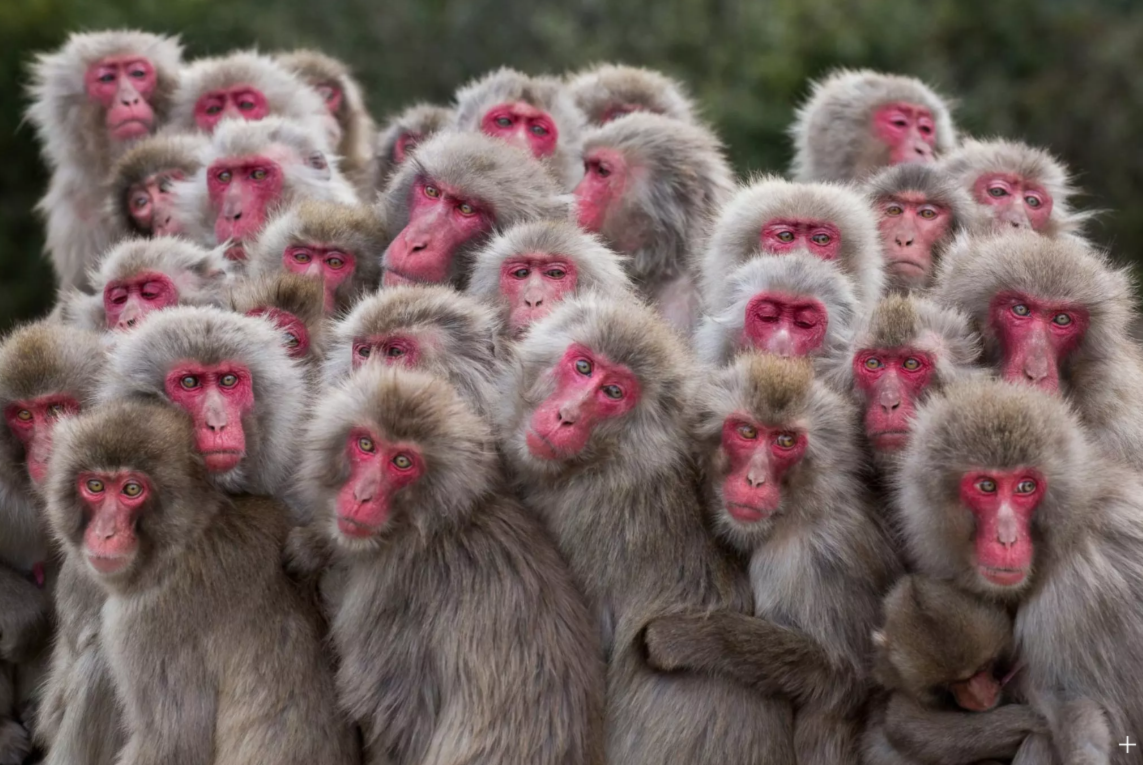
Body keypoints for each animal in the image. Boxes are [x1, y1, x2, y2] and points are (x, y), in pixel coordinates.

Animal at [44, 399, 357, 764]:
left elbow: (173, 746)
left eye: (132, 489)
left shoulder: (146, 626)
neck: (186, 539)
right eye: (94, 486)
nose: (105, 532)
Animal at [299, 364, 604, 764]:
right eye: (366, 445)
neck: (427, 526)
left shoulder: (394, 594)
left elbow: (401, 724)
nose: (362, 496)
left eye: (402, 461)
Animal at [640, 352, 900, 765]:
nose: (755, 480)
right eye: (748, 432)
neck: (800, 509)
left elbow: (842, 677)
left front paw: (688, 637)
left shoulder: (808, 561)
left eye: (785, 440)